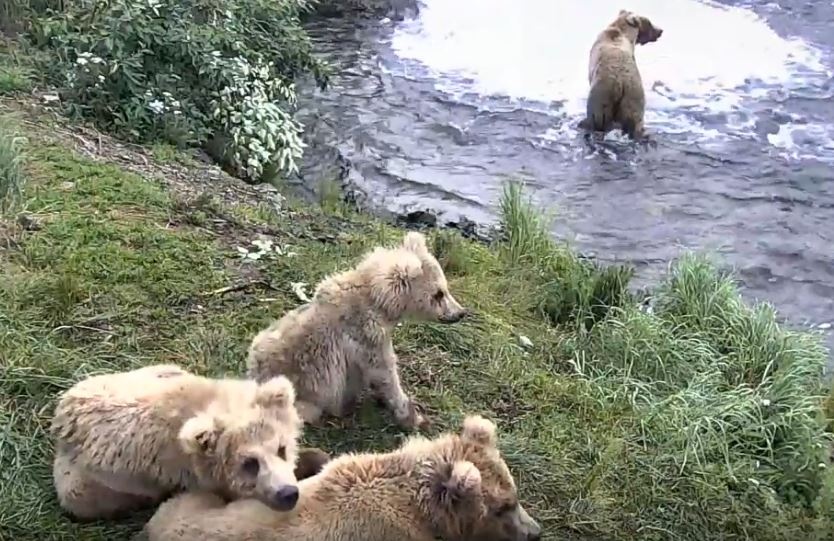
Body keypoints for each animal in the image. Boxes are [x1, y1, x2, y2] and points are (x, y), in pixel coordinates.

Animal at [50, 363, 331, 521]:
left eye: (281, 448)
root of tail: (60, 417)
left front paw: (316, 457)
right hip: (86, 484)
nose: (287, 493)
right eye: (249, 463)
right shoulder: (199, 477)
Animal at [246, 231, 468, 431]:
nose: (460, 312)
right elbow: (385, 373)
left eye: (445, 289)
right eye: (438, 294)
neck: (381, 303)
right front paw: (414, 417)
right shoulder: (366, 335)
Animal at [577, 9, 663, 140]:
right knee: (636, 122)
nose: (660, 31)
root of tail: (620, 83)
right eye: (649, 22)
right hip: (632, 98)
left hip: (602, 96)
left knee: (596, 119)